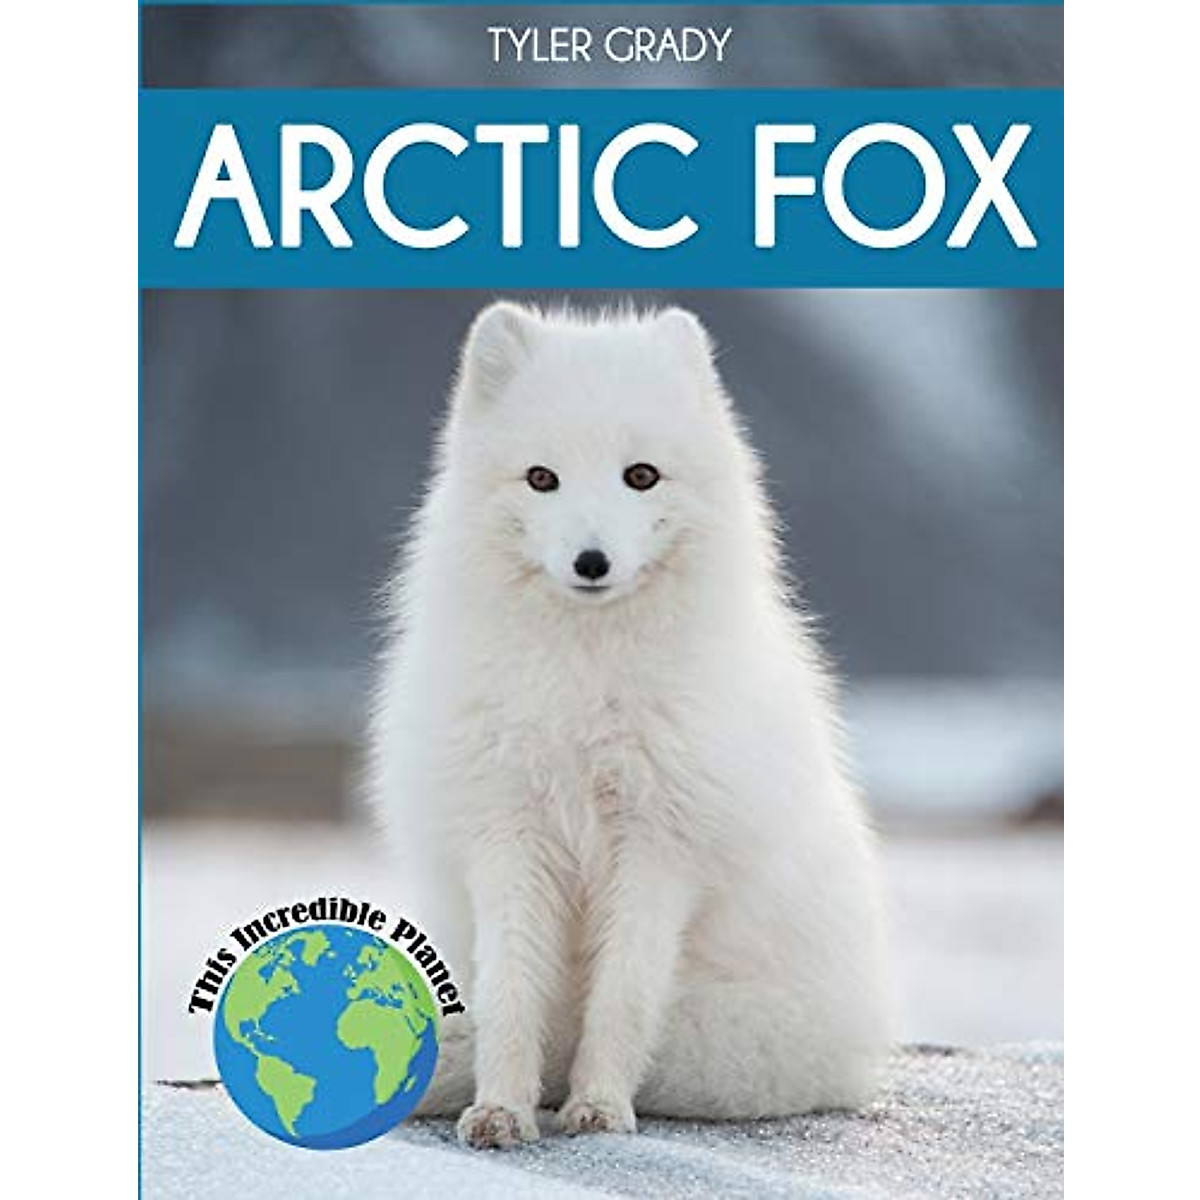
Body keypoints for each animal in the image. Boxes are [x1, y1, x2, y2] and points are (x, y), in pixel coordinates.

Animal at [368, 301, 893, 1148]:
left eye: (640, 475)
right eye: (541, 477)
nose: (592, 561)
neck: (584, 688)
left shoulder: (660, 846)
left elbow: (622, 996)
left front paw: (599, 1106)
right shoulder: (507, 833)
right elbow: (511, 991)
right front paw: (500, 1109)